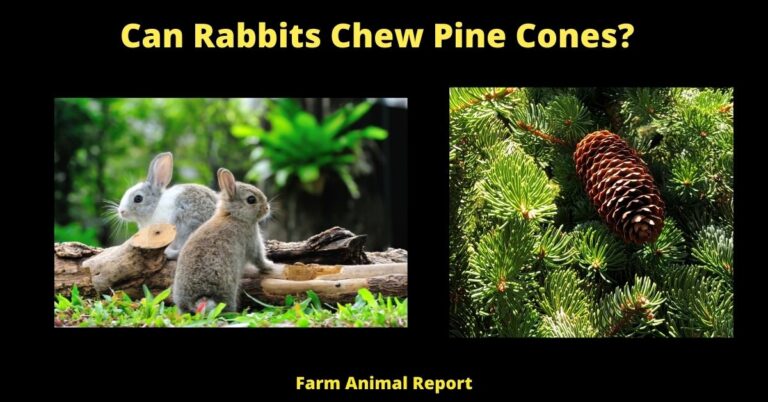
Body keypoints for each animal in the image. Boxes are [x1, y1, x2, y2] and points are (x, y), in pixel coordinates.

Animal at [173, 168, 280, 314]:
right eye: (251, 199)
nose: (267, 208)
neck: (233, 216)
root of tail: (198, 299)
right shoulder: (252, 241)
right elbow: (258, 259)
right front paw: (270, 266)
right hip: (228, 290)